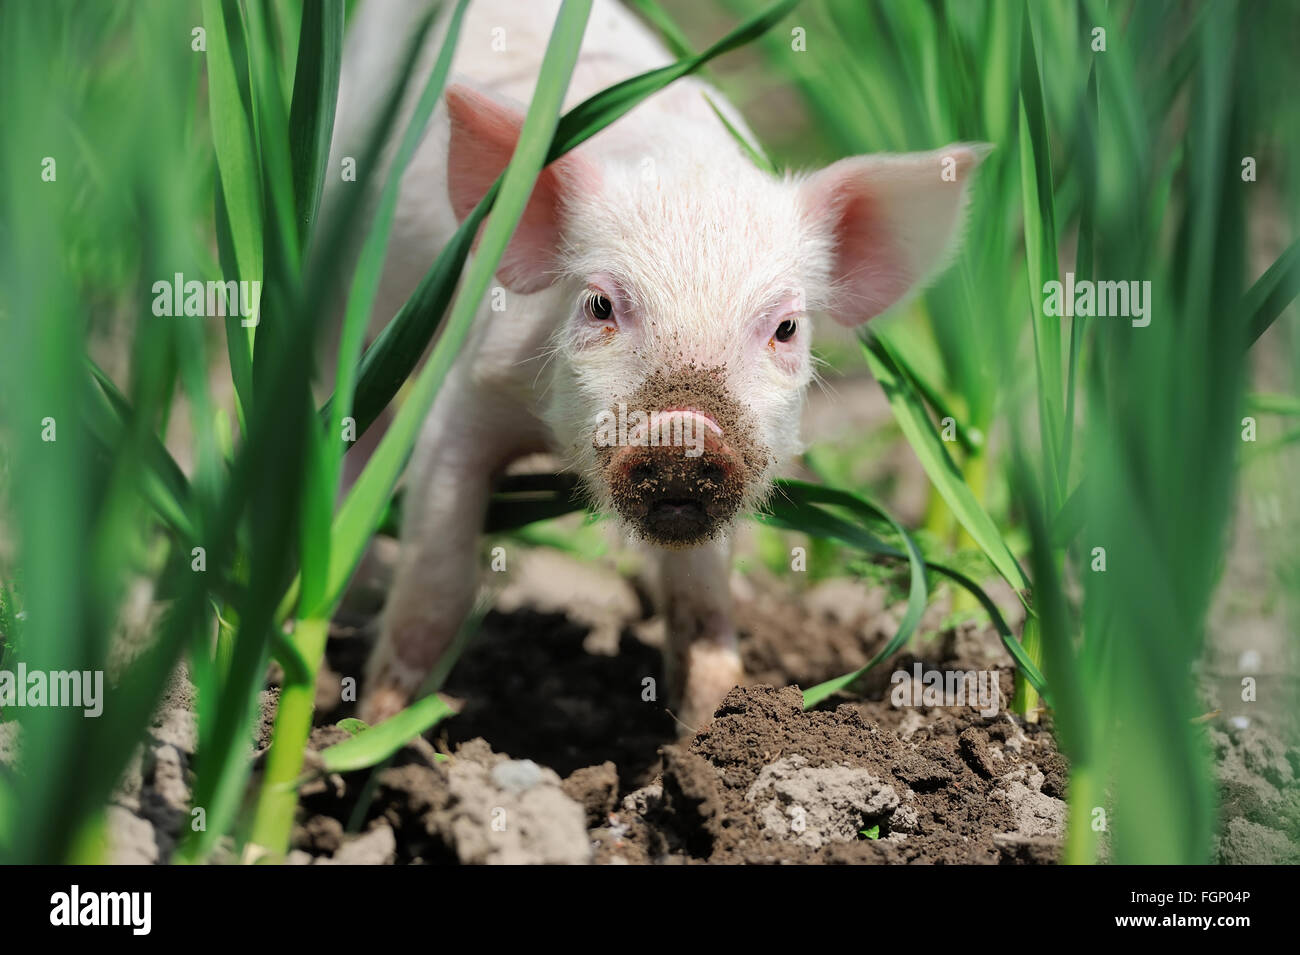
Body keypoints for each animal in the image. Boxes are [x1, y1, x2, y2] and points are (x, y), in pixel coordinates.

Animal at [330, 0, 984, 728]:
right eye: (598, 303)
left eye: (786, 327)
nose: (684, 432)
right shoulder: (468, 391)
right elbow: (436, 579)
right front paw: (380, 724)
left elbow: (700, 603)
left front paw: (704, 726)